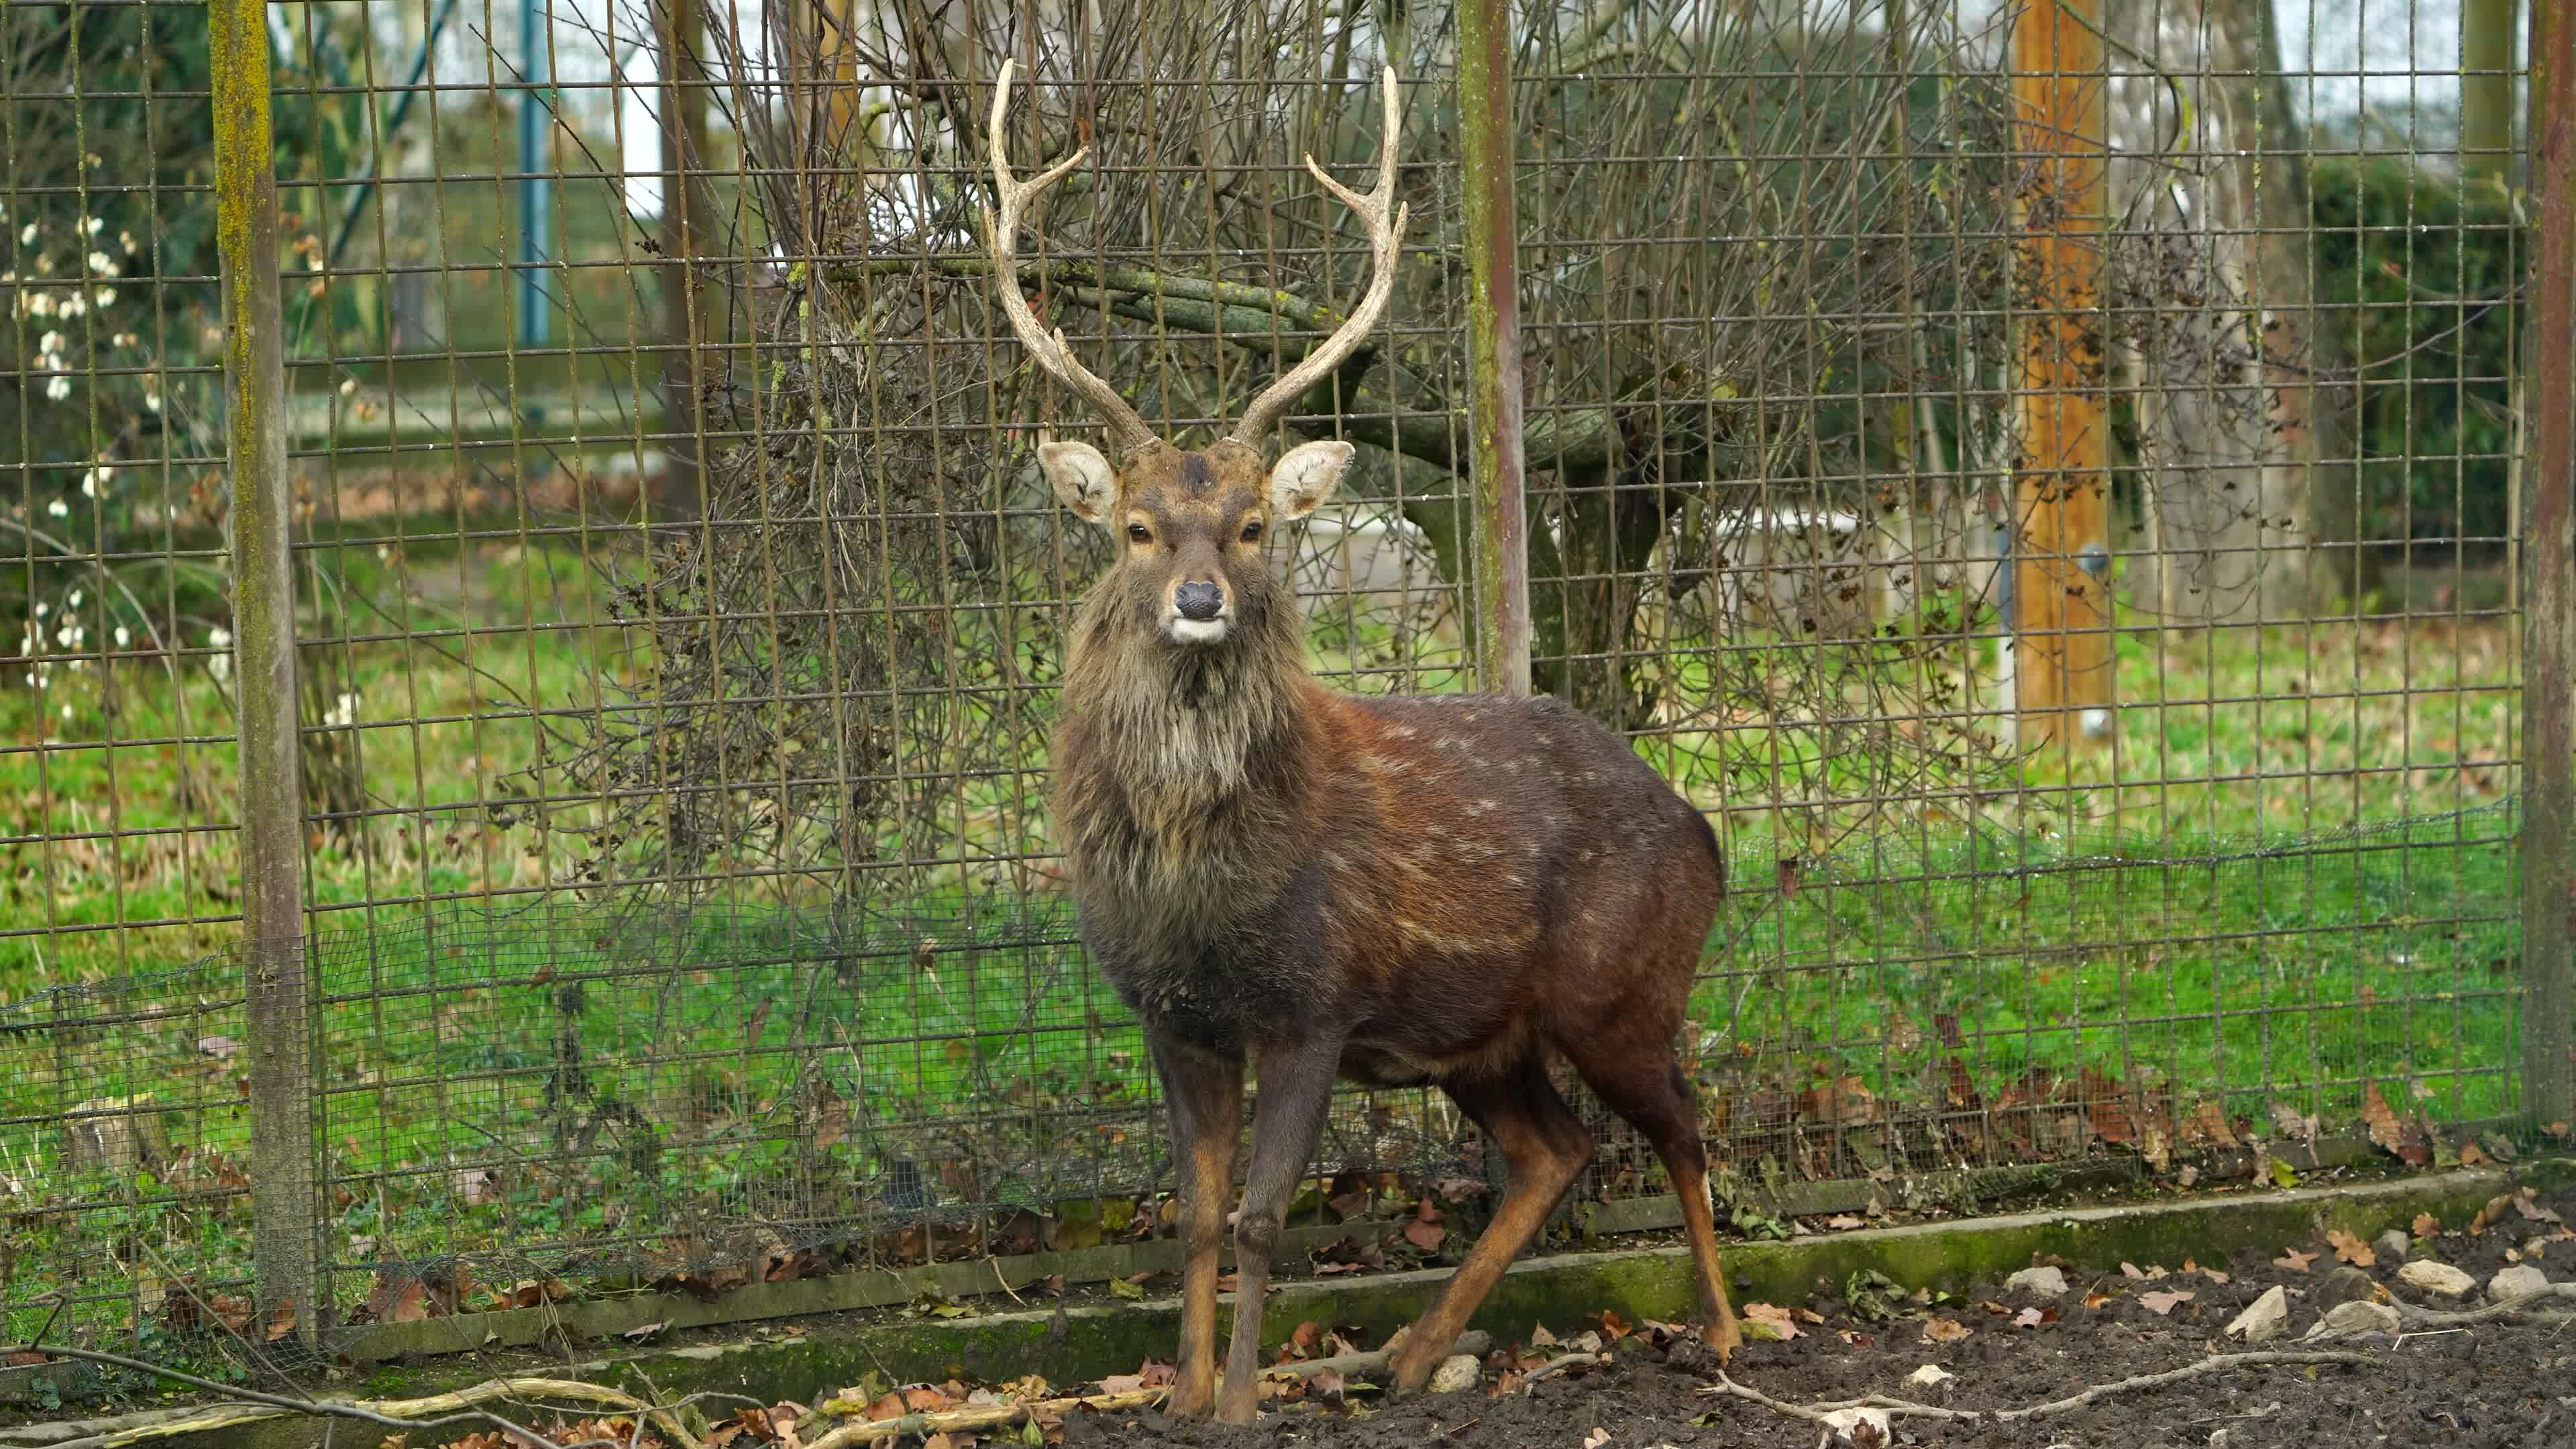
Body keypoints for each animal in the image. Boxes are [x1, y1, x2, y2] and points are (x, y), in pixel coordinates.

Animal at [982, 61, 1742, 1422]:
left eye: (1251, 525)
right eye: (1134, 526)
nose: (1197, 599)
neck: (1197, 883)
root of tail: (1708, 833)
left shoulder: (1314, 1004)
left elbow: (1262, 1219)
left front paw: (1240, 1404)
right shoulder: (1170, 1014)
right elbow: (1194, 1214)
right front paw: (1181, 1398)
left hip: (1624, 987)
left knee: (1681, 1126)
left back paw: (1723, 1331)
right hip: (1482, 1037)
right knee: (1555, 1149)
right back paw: (1411, 1354)